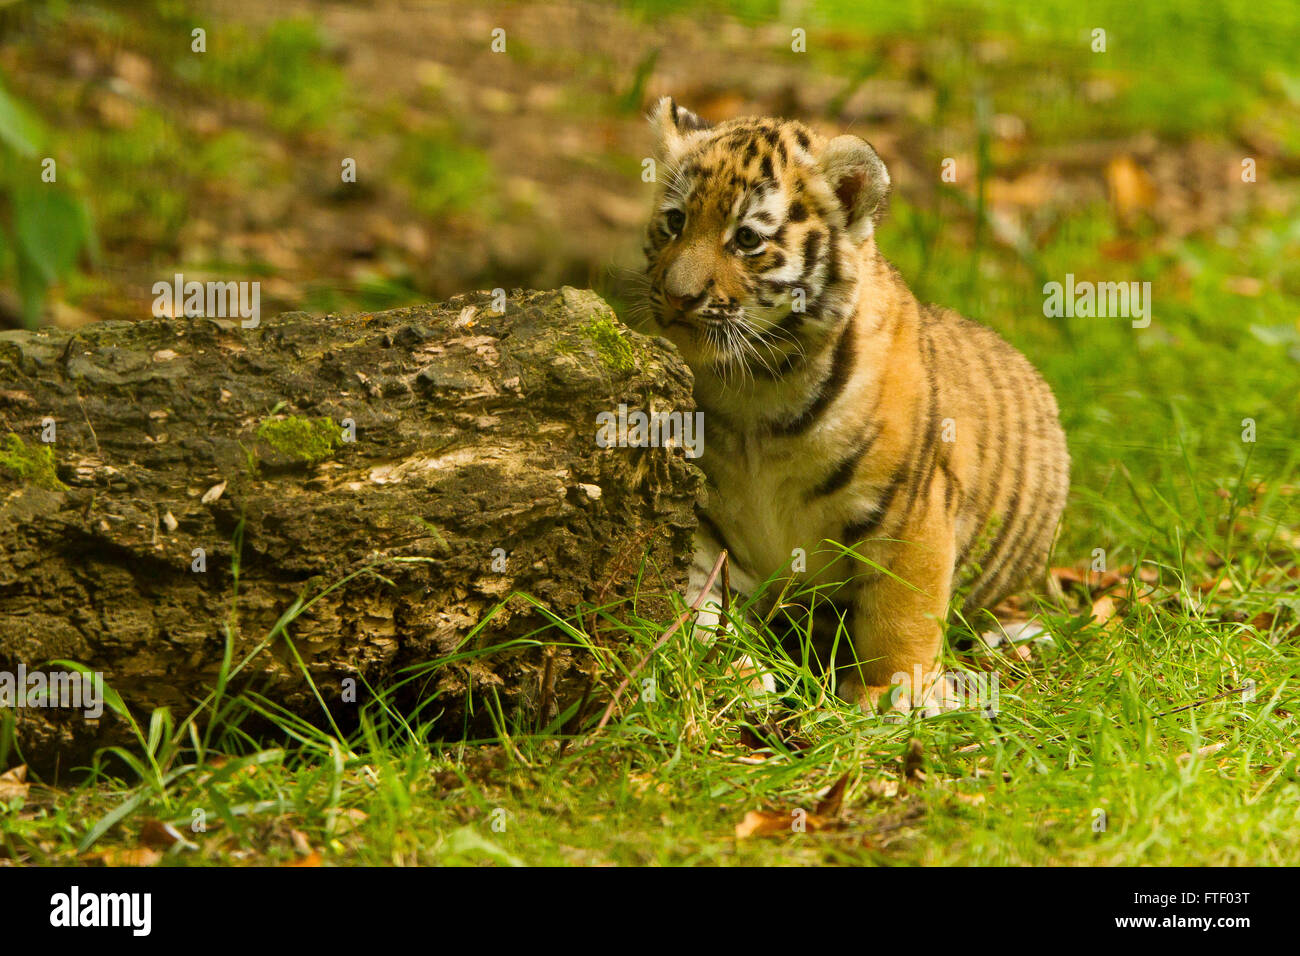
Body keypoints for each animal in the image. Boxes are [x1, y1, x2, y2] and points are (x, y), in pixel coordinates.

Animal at [637, 97, 1070, 712]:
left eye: (746, 239)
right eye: (676, 221)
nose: (678, 297)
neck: (755, 387)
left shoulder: (909, 509)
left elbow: (901, 612)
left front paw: (895, 694)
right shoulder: (703, 512)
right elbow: (699, 595)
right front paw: (726, 673)